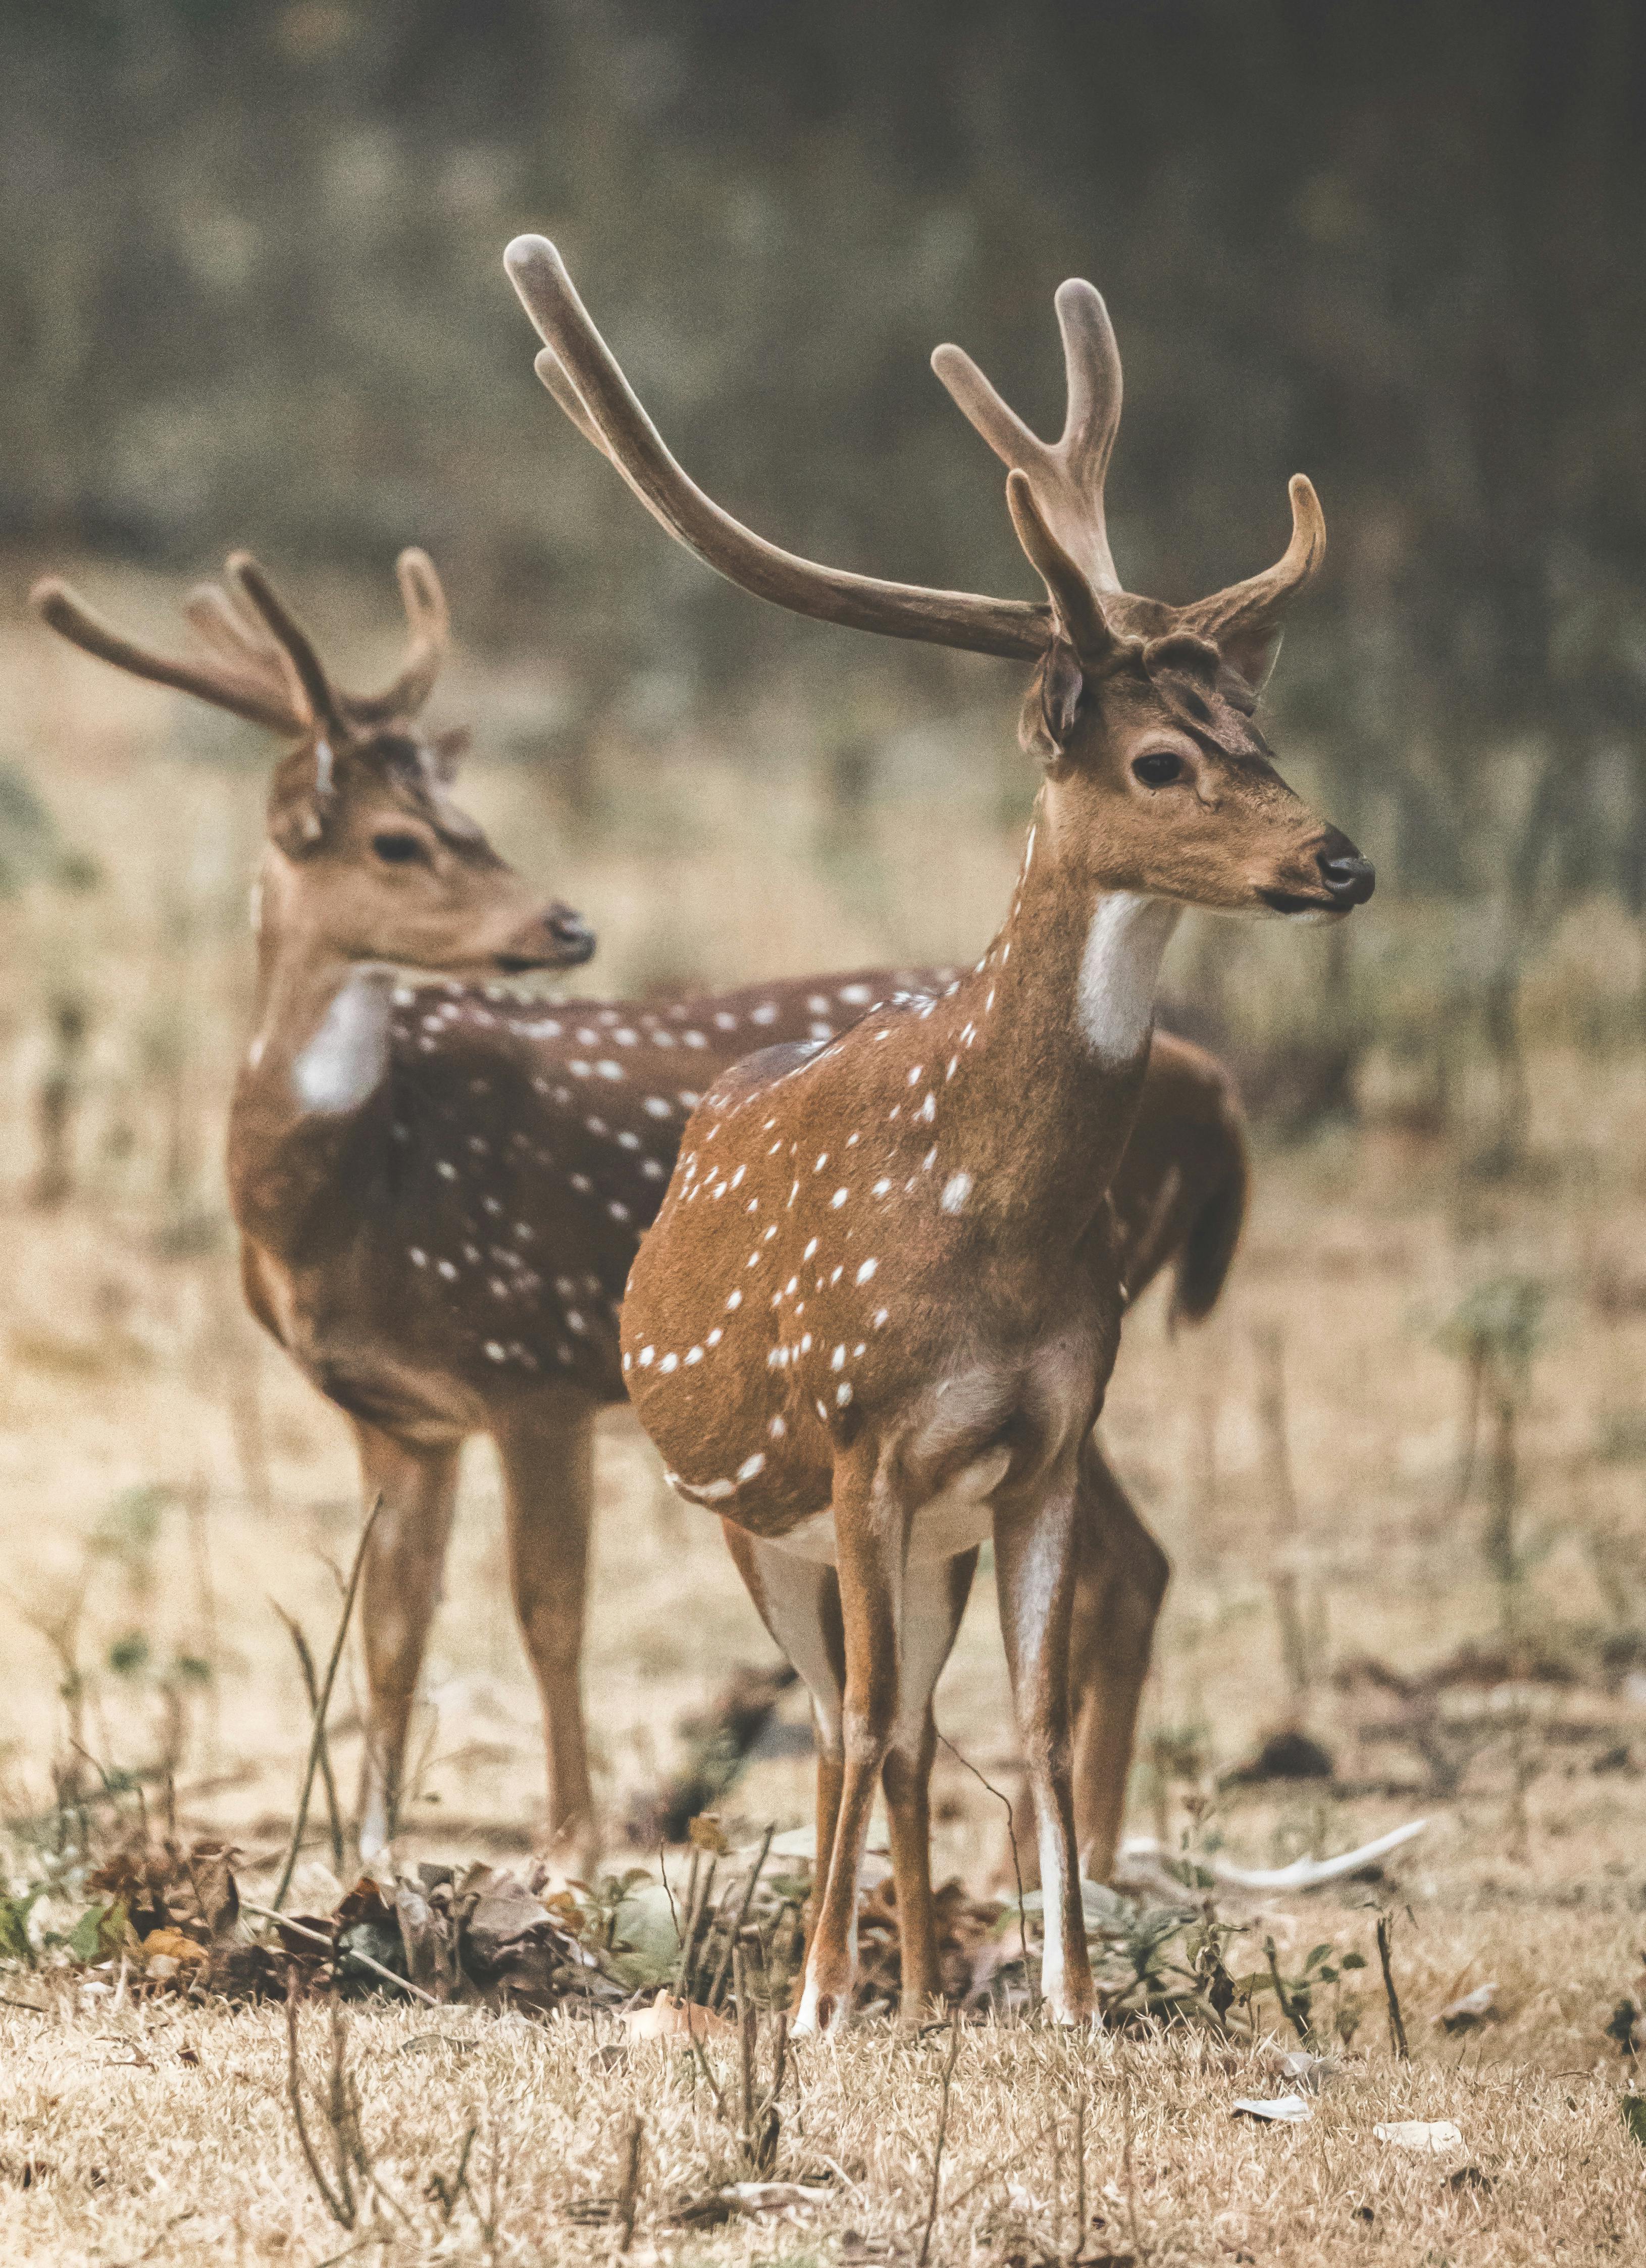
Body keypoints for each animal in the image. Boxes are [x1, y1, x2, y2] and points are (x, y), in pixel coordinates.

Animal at [32, 547, 1245, 1880]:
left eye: (470, 823)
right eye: (398, 842)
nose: (564, 924)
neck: (350, 1197)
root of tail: (1213, 1088)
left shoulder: (534, 1364)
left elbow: (547, 1610)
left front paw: (568, 1847)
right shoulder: (399, 1413)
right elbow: (392, 1627)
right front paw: (367, 1858)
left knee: (1125, 1569)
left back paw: (1091, 1864)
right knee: (1131, 1567)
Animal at [506, 233, 1372, 2027]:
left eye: (1261, 735)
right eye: (1161, 757)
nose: (1341, 861)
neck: (990, 1225)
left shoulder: (1034, 1450)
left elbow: (1024, 1725)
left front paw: (1071, 2004)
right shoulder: (853, 1440)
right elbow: (867, 1722)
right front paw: (828, 2002)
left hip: (928, 1535)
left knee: (905, 1720)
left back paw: (923, 1981)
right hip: (753, 1510)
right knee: (854, 1720)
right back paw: (853, 1982)